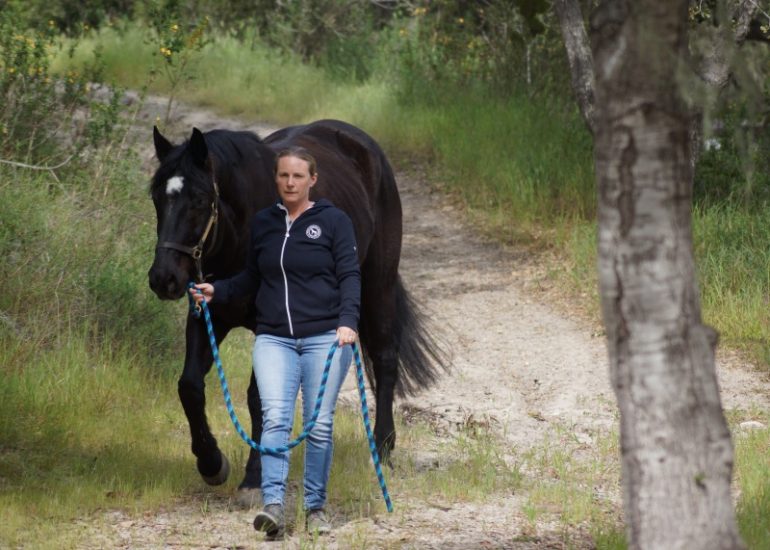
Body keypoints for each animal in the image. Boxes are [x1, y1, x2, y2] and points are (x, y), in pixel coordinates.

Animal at [147, 119, 446, 496]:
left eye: (200, 200)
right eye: (157, 197)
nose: (164, 278)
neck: (241, 231)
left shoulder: (269, 325)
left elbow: (258, 397)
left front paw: (254, 477)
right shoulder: (206, 313)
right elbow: (189, 387)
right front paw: (212, 463)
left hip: (378, 281)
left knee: (384, 357)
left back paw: (381, 448)